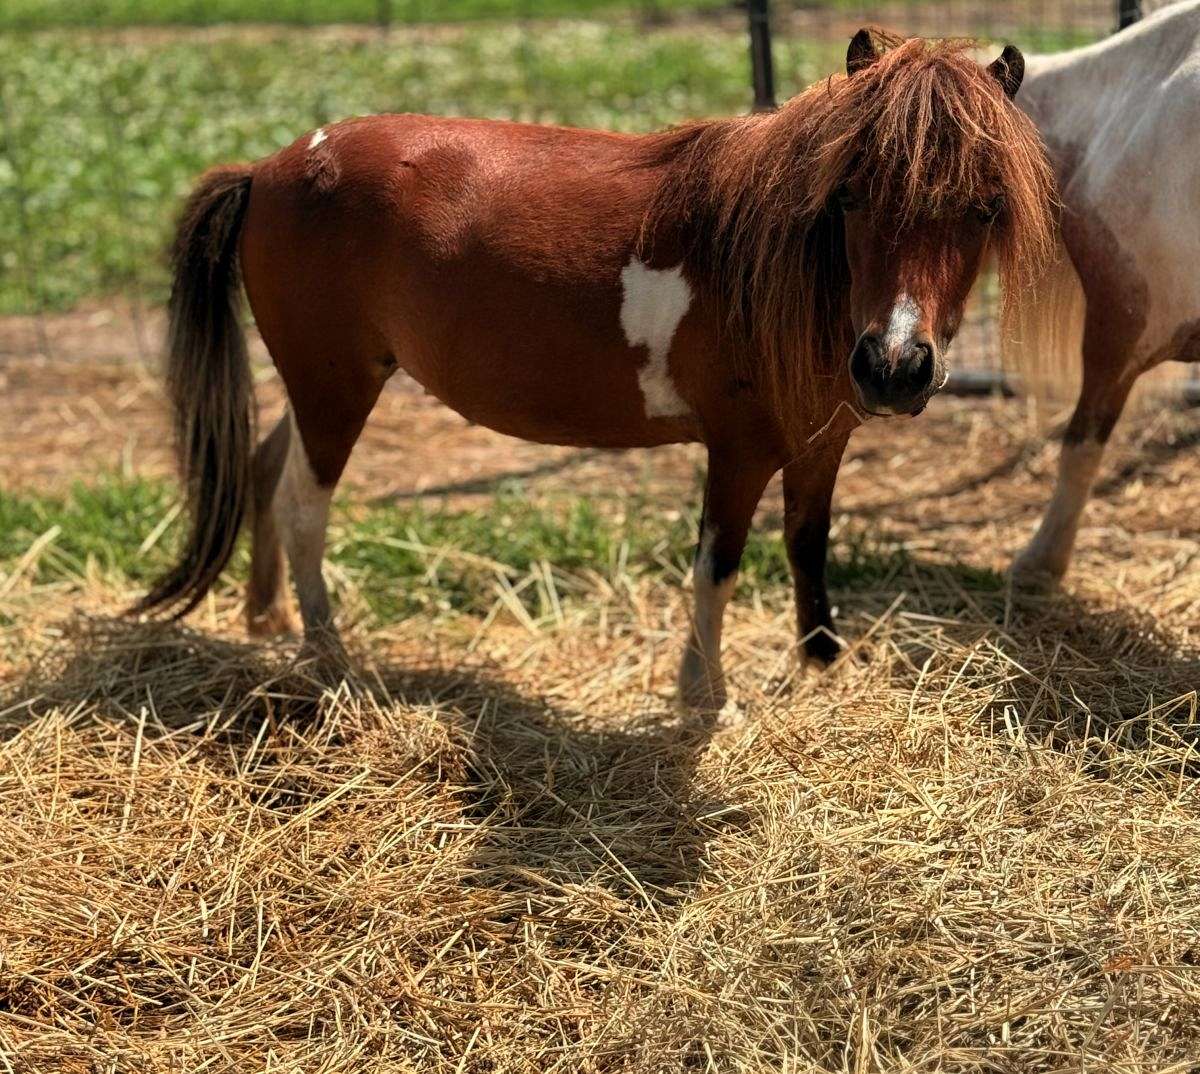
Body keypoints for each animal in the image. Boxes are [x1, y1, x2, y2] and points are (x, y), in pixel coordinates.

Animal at [137, 29, 1054, 710]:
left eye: (984, 208)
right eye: (851, 194)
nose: (895, 367)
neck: (766, 266)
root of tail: (266, 170)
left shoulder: (820, 440)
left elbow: (808, 543)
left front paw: (822, 664)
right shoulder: (740, 448)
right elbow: (718, 563)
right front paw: (707, 699)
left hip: (321, 381)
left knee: (265, 470)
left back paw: (268, 620)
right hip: (338, 390)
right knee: (302, 504)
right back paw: (329, 655)